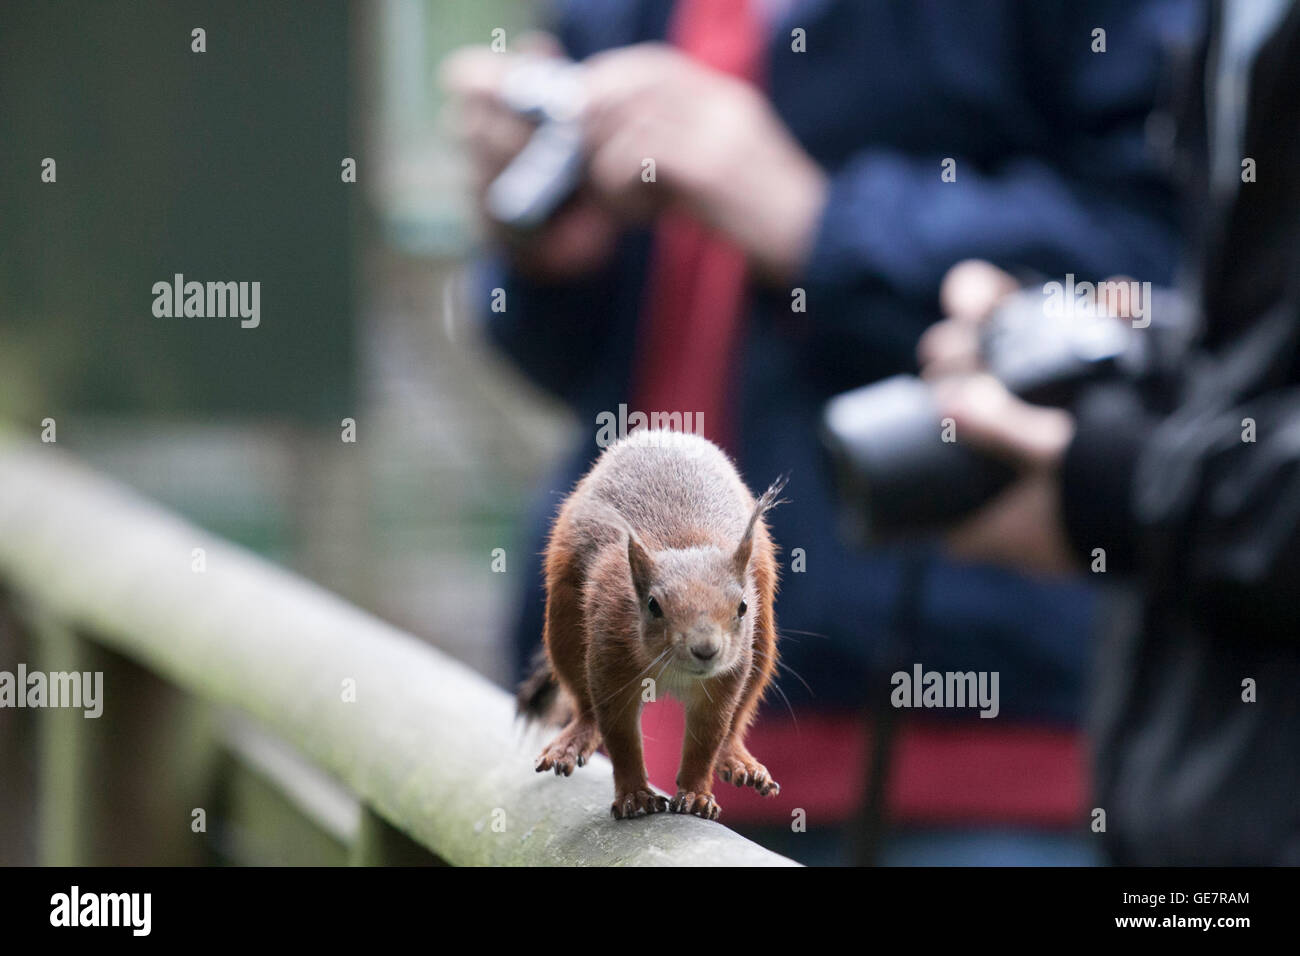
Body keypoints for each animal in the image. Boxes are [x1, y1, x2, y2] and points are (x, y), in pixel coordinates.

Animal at [517, 429, 787, 820]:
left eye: (742, 606)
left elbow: (709, 735)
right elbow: (620, 735)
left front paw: (696, 794)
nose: (706, 650)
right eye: (653, 605)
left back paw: (737, 758)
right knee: (584, 703)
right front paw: (635, 795)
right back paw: (575, 738)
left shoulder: (727, 677)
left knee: (735, 724)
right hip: (564, 624)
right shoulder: (609, 659)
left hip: (761, 645)